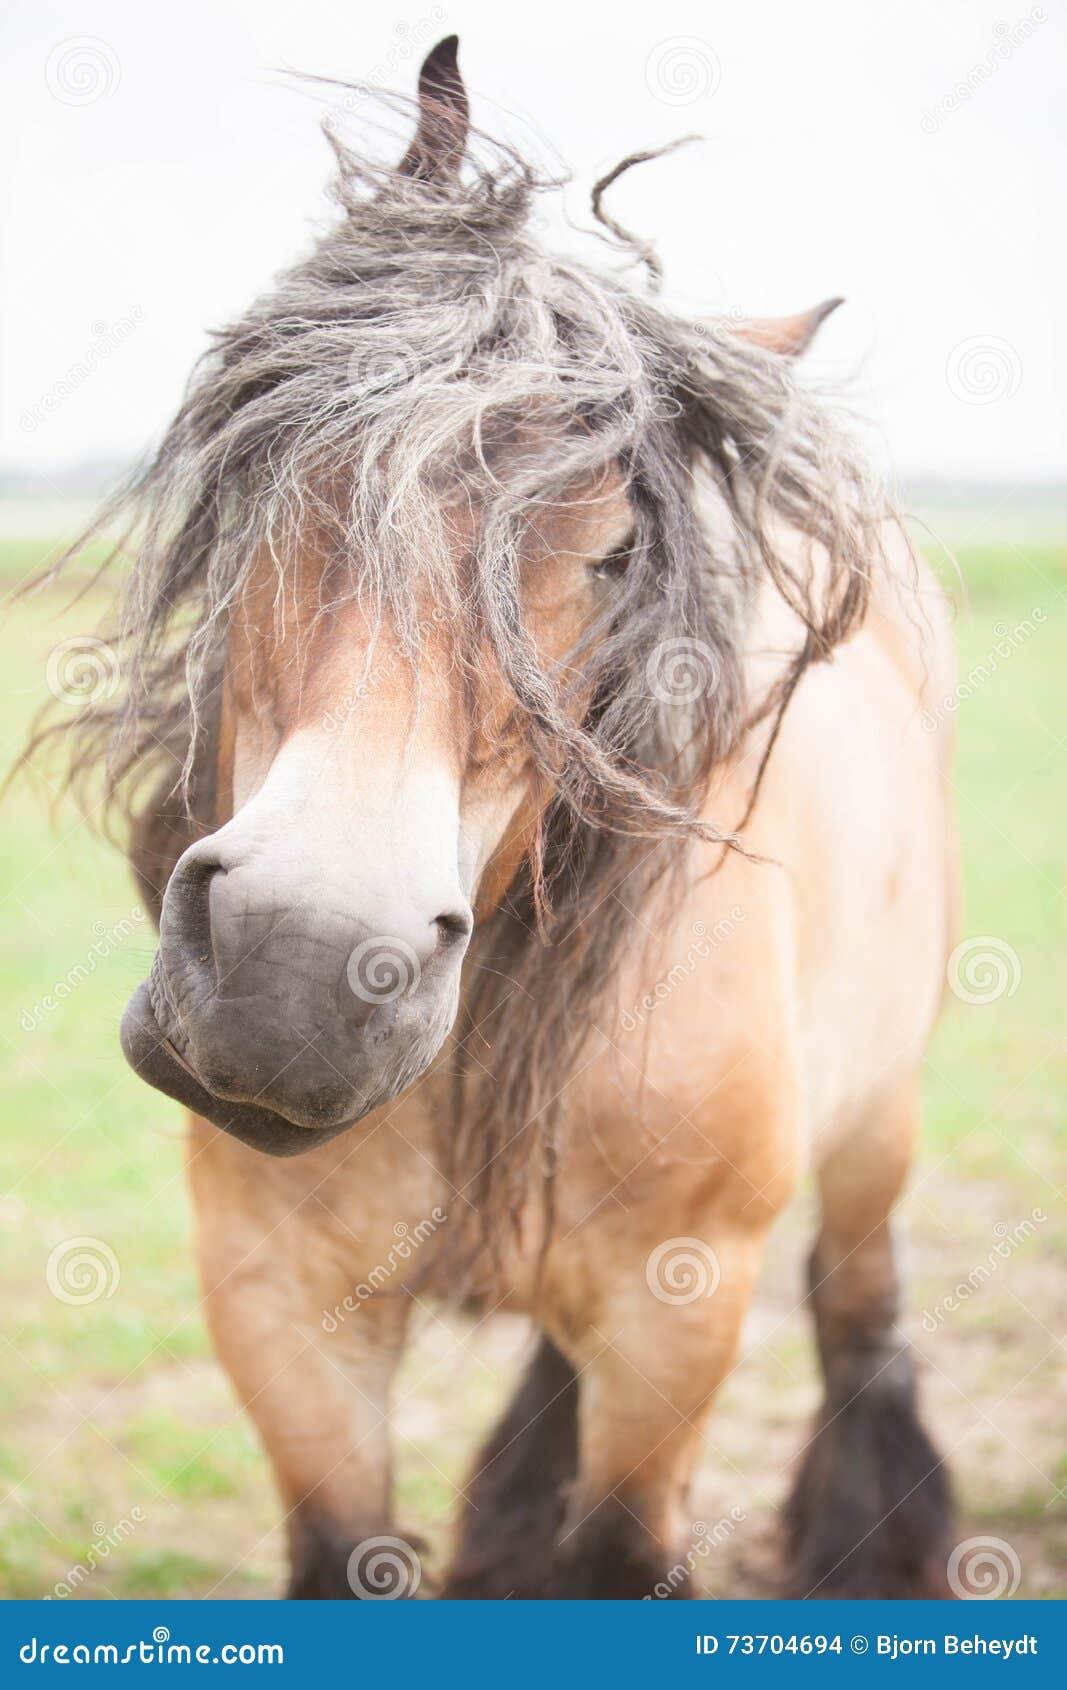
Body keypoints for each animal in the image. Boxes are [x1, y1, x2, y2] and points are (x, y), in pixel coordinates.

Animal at [38, 36, 959, 1599]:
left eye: (612, 554)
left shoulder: (674, 1317)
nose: (296, 972)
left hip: (873, 1125)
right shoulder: (282, 1309)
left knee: (857, 1311)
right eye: (299, 461)